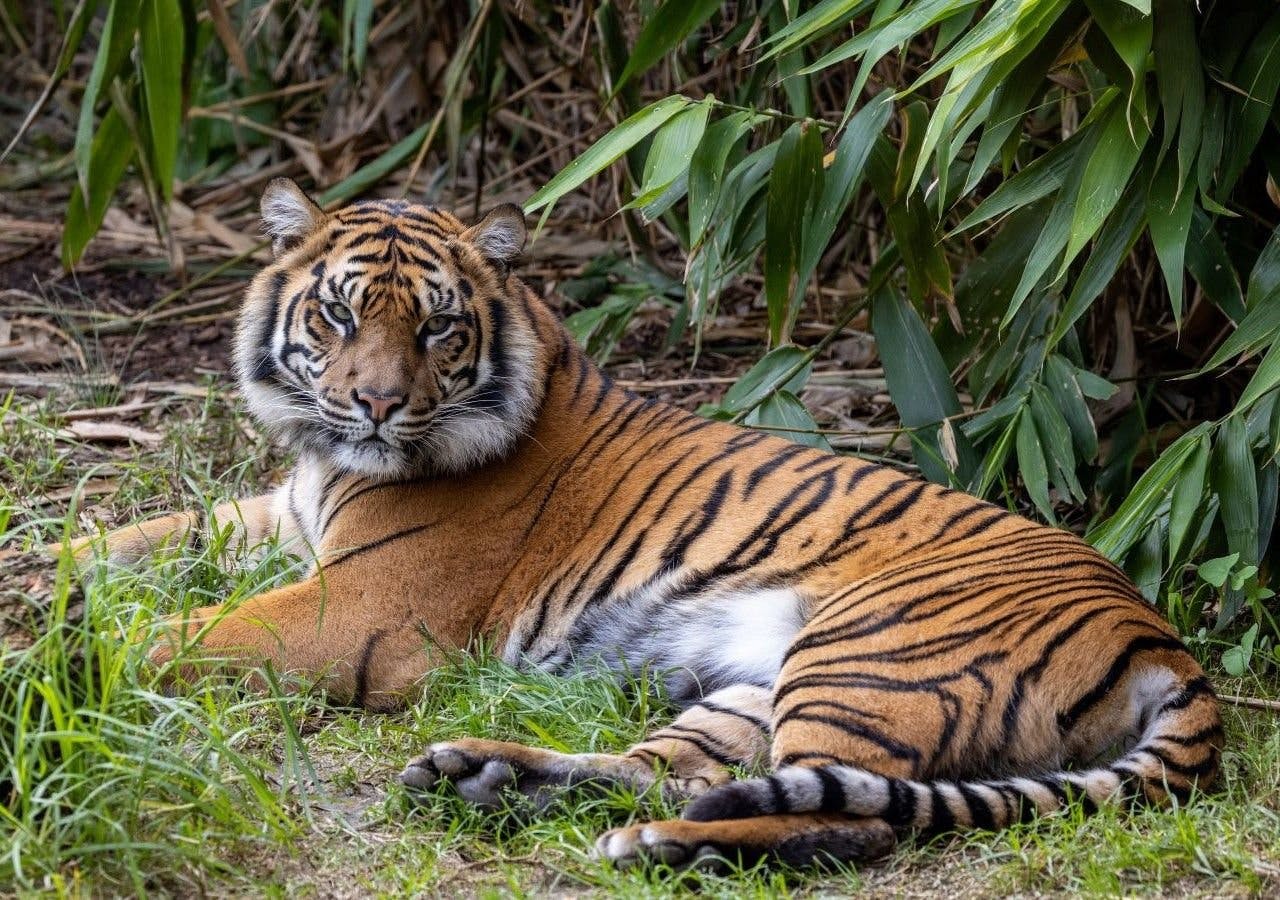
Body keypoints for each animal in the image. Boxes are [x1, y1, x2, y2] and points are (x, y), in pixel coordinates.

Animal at [70, 177, 1222, 869]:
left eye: (436, 327)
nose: (376, 404)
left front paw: (74, 657)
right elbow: (117, 543)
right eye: (339, 313)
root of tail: (1159, 638)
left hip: (869, 655)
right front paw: (51, 585)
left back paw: (657, 843)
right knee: (673, 764)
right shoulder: (279, 517)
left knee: (852, 817)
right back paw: (488, 779)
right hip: (763, 687)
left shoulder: (358, 609)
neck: (329, 456)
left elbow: (186, 634)